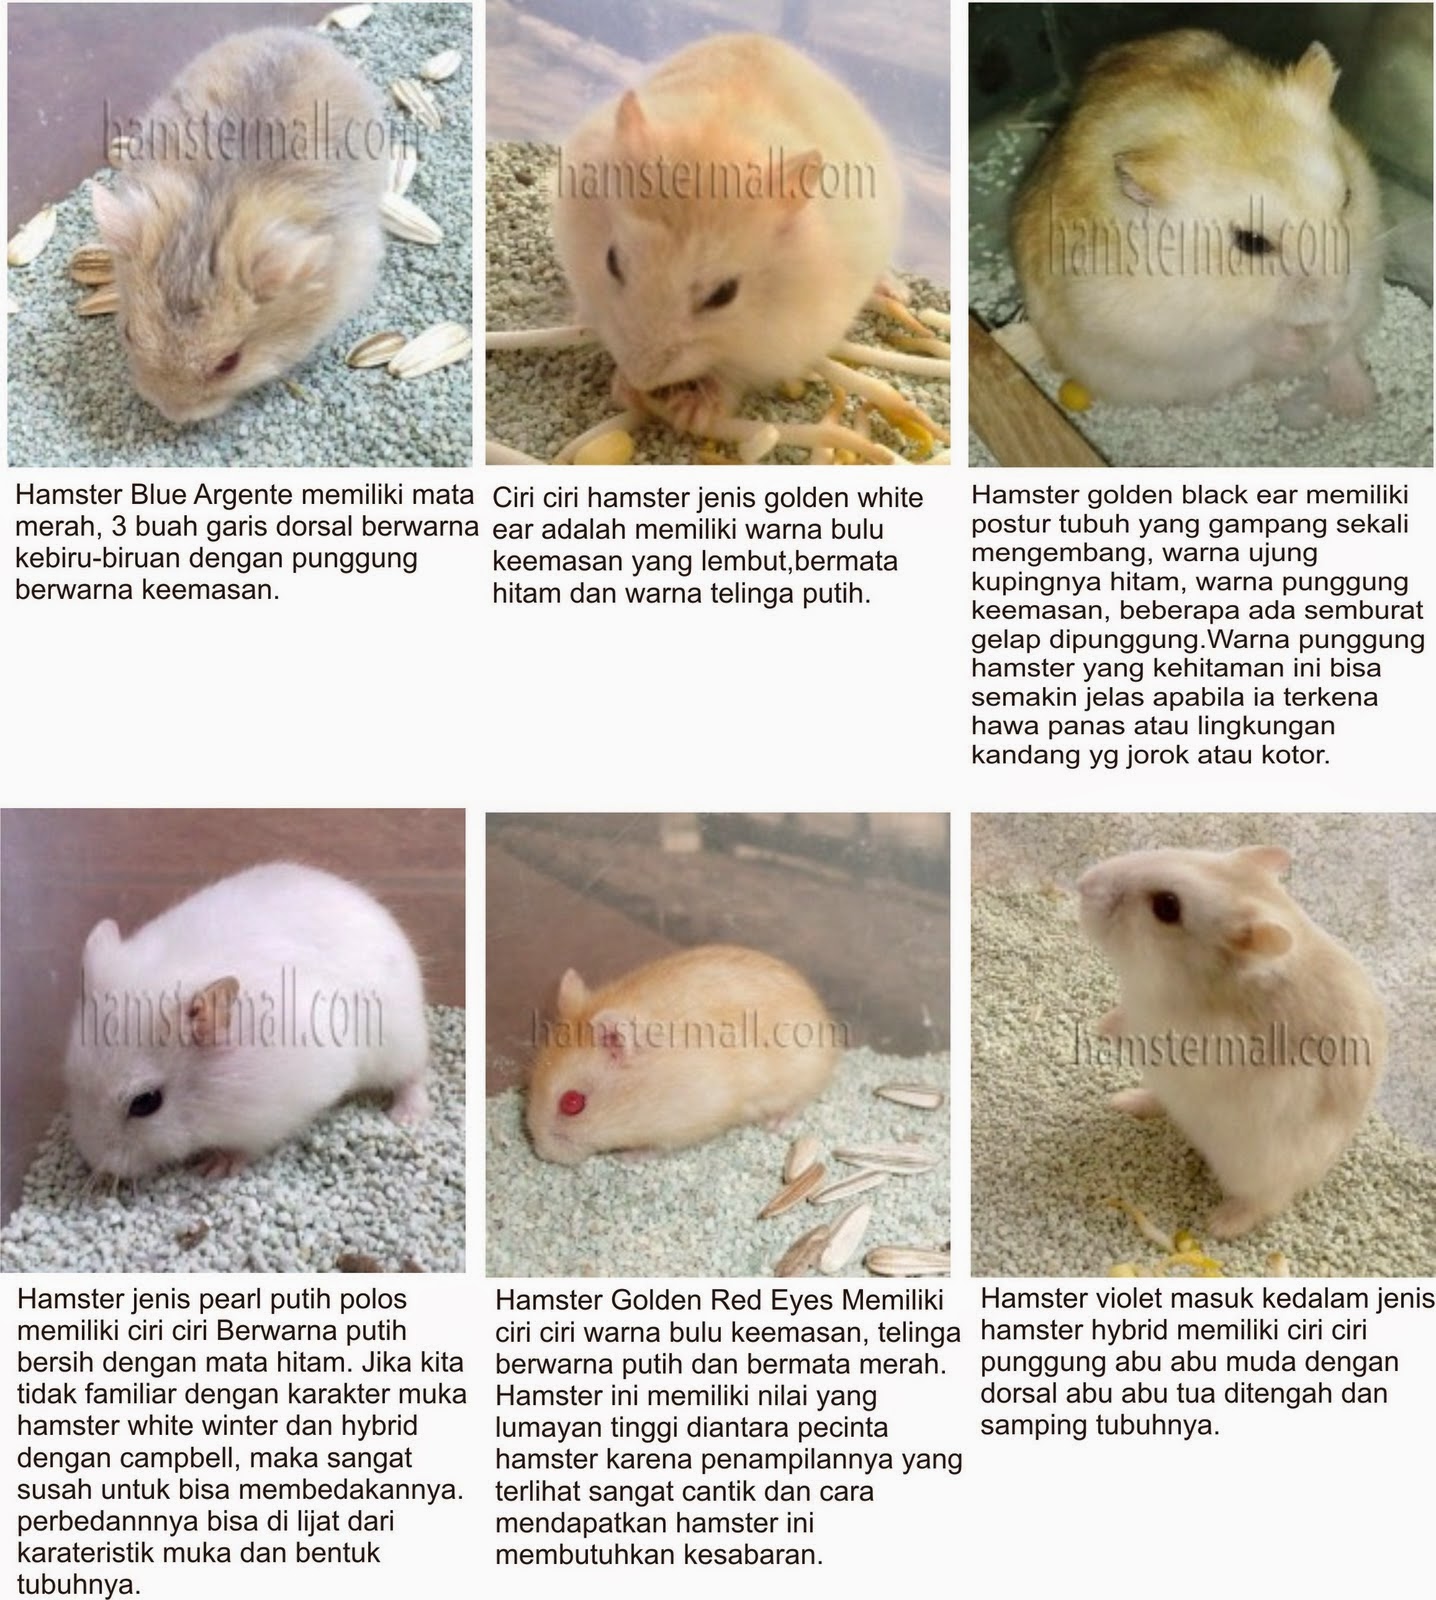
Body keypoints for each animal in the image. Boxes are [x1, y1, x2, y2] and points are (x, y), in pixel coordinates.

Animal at [62, 863, 430, 1179]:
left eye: (145, 1102)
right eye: (71, 1078)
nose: (96, 1165)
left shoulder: (275, 1111)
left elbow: (247, 1146)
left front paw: (215, 1167)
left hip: (398, 1044)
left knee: (413, 1074)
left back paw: (406, 1116)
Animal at [526, 944, 841, 1164]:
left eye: (572, 1103)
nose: (542, 1154)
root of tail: (823, 1017)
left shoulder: (681, 1125)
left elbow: (655, 1148)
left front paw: (626, 1157)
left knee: (799, 1102)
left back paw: (774, 1125)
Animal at [551, 33, 901, 434]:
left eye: (724, 294)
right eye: (611, 261)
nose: (643, 377)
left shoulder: (776, 349)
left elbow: (729, 380)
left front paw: (690, 413)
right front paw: (625, 390)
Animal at [1011, 30, 1383, 424]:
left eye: (1348, 197)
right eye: (1251, 242)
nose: (1340, 305)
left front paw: (1331, 330)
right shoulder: (1173, 331)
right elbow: (1251, 340)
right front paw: (1299, 340)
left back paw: (1357, 402)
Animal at [1078, 846, 1385, 1238]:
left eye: (1167, 906)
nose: (1081, 884)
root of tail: (1320, 1172)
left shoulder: (1188, 1044)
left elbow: (1137, 1030)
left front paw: (1101, 1029)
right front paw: (1099, 1024)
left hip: (1259, 1172)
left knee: (1266, 1203)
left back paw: (1219, 1224)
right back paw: (1122, 1101)